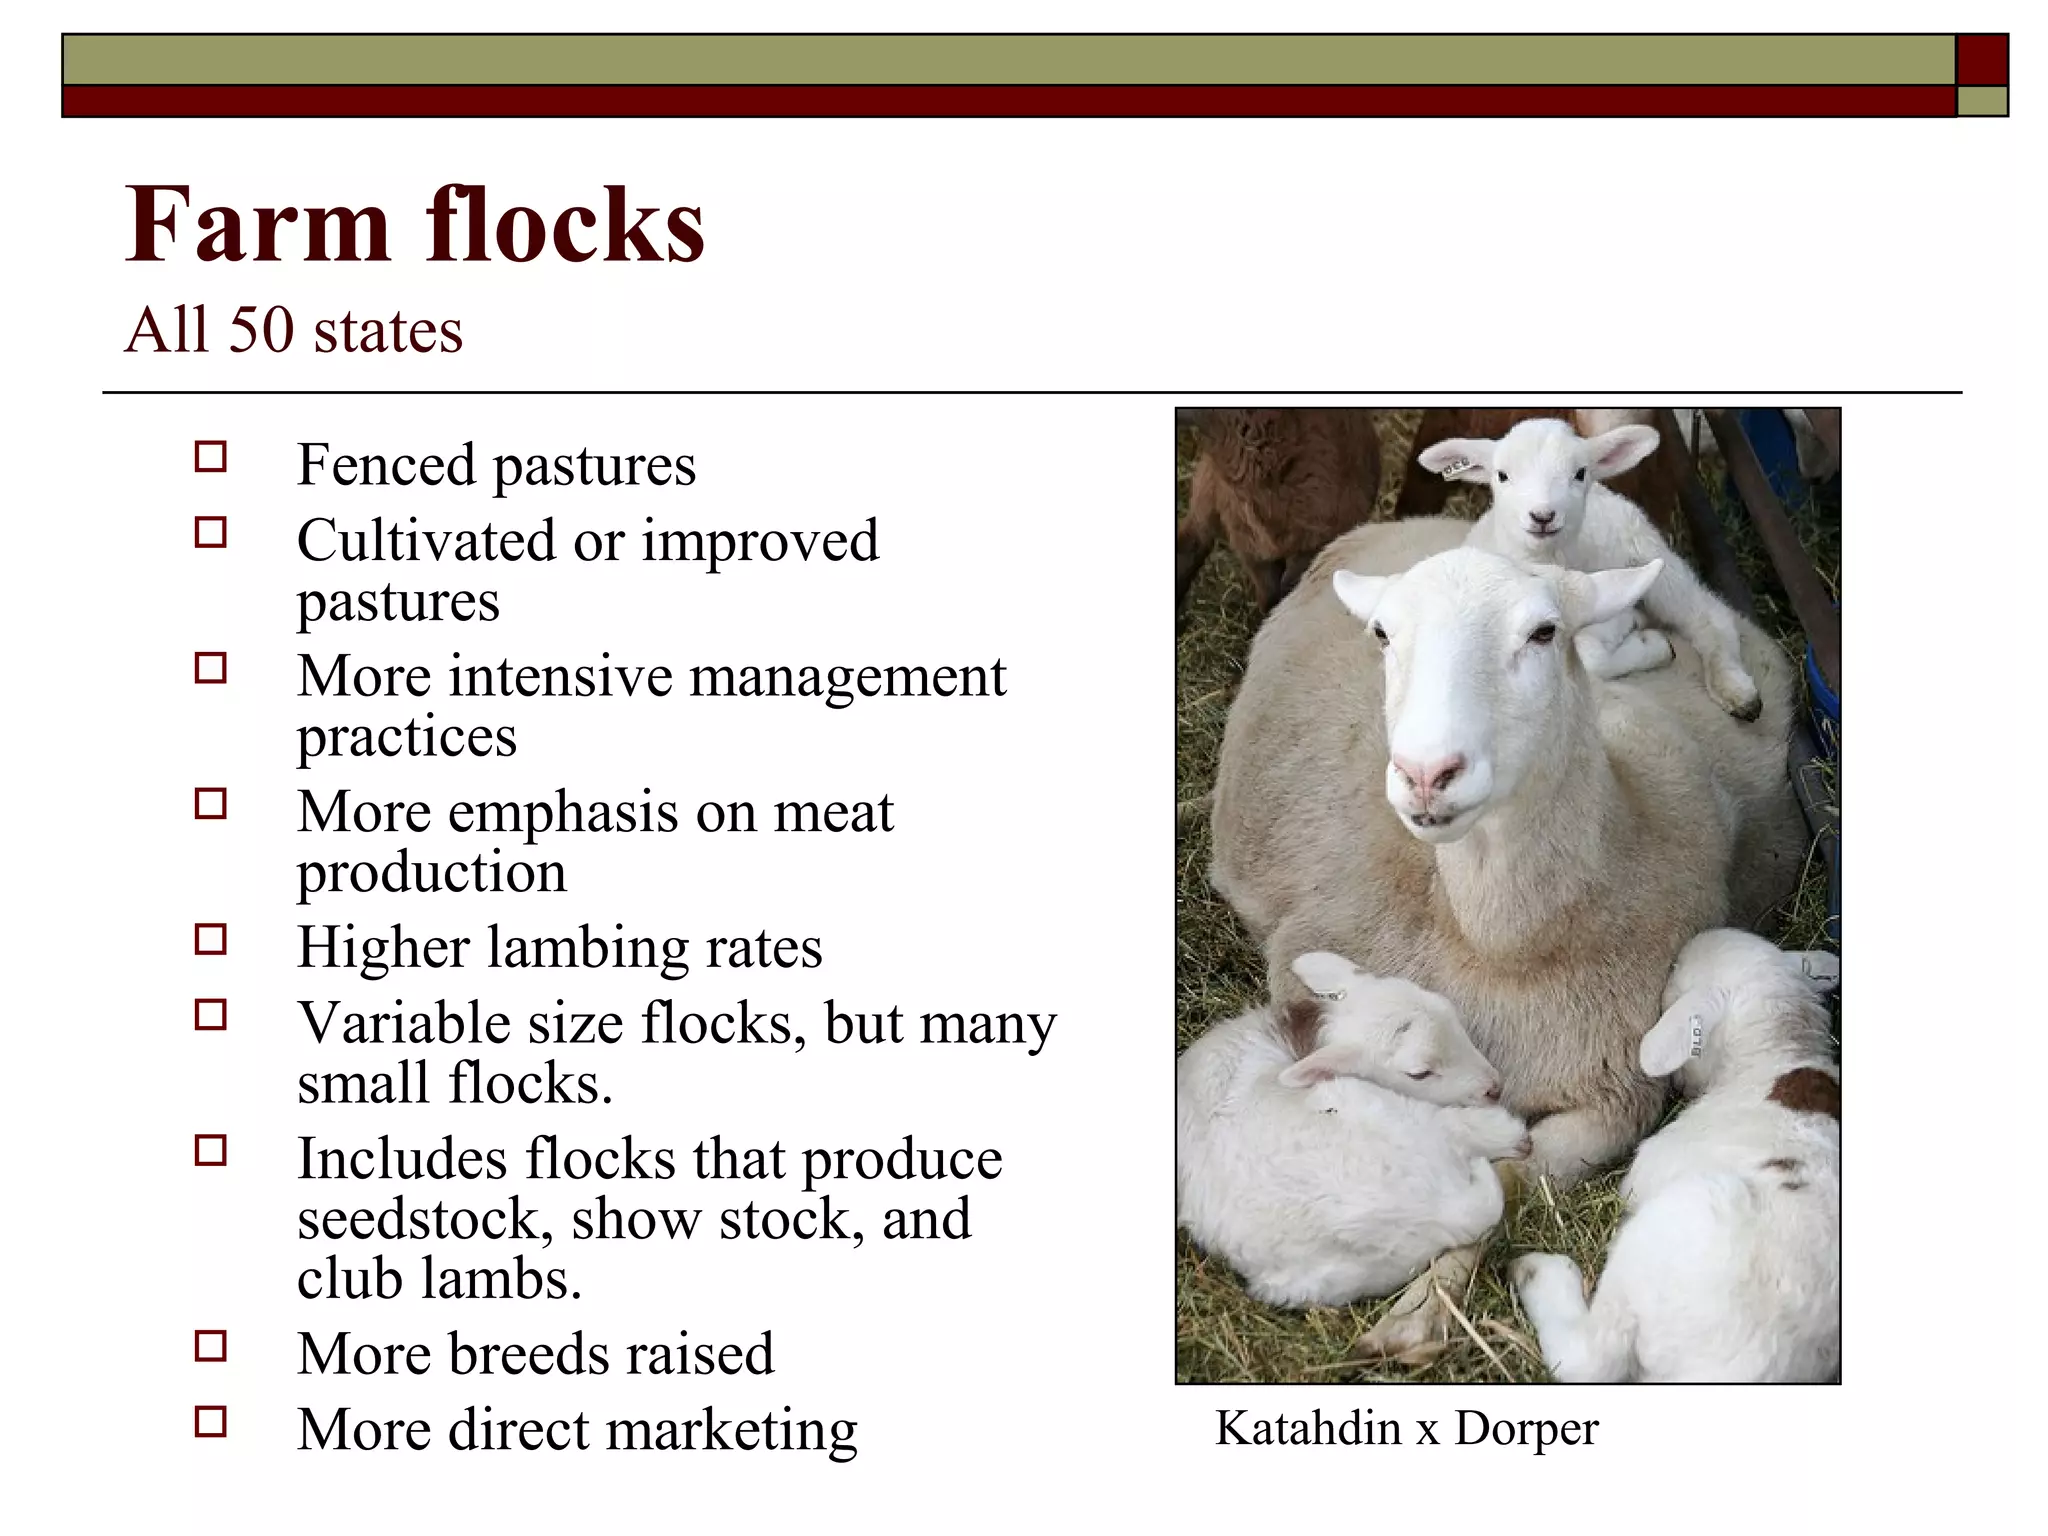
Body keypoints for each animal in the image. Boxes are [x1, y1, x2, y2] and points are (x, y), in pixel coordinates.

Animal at [1420, 417, 1764, 721]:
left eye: (1579, 472)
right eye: (1502, 475)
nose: (1543, 516)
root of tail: (1604, 491)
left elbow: (1592, 653)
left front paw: (1649, 642)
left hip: (1653, 558)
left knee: (1707, 616)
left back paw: (1735, 687)